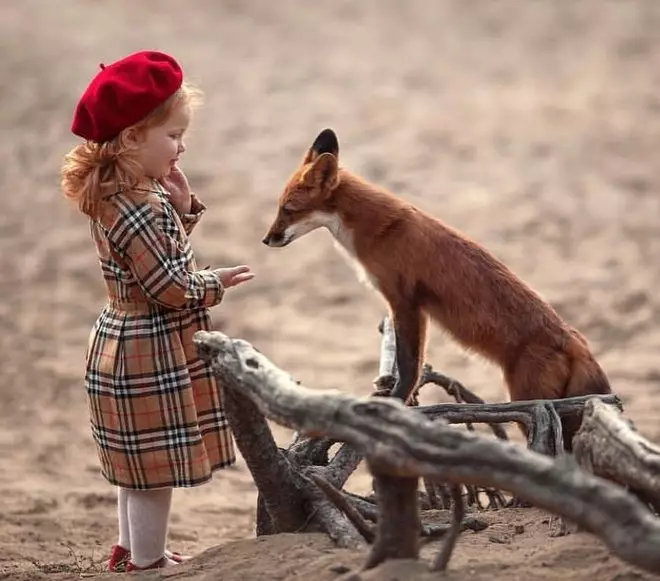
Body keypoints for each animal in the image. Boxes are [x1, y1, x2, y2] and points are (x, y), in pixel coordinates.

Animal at [260, 129, 612, 450]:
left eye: (288, 209)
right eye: (278, 207)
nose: (266, 240)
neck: (381, 231)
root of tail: (577, 342)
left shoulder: (404, 301)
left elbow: (409, 364)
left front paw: (395, 402)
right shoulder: (415, 309)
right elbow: (412, 363)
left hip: (530, 403)